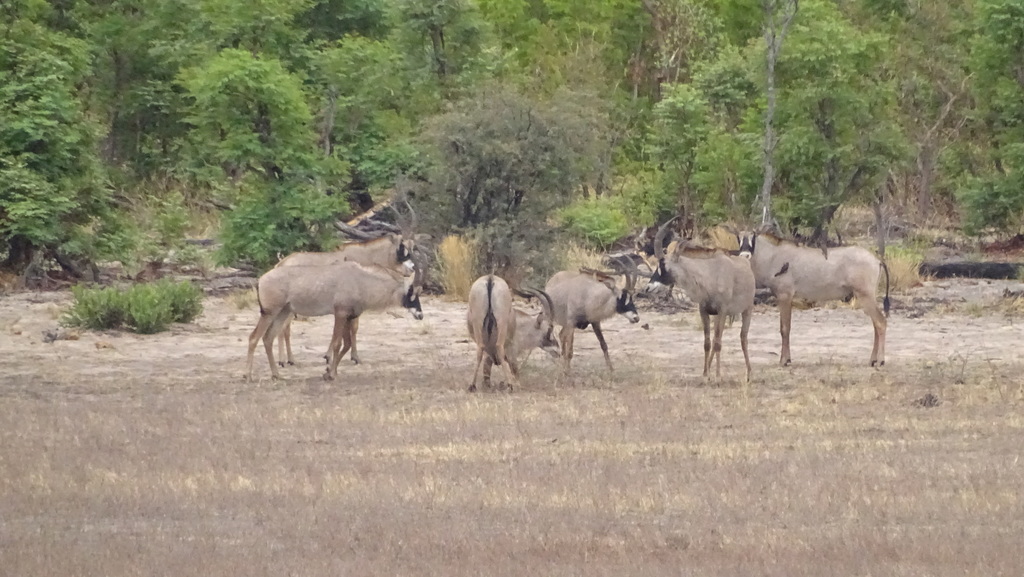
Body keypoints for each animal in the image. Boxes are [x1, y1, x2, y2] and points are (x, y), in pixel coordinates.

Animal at [245, 261, 424, 381]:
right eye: (412, 293)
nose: (420, 315)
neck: (361, 281)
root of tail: (261, 279)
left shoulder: (348, 316)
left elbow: (347, 344)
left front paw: (330, 372)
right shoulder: (340, 313)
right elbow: (338, 343)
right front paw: (330, 373)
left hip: (283, 312)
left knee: (268, 338)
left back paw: (276, 375)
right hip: (269, 313)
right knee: (254, 337)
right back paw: (248, 376)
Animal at [273, 202, 417, 366]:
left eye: (412, 246)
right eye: (401, 248)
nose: (412, 269)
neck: (366, 255)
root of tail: (281, 263)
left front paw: (329, 356)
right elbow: (354, 328)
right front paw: (354, 357)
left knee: (285, 328)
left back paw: (289, 359)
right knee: (283, 328)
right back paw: (283, 360)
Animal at [645, 218, 755, 381]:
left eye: (663, 265)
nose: (648, 288)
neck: (710, 274)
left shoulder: (722, 311)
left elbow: (718, 344)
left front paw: (717, 375)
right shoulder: (704, 311)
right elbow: (708, 343)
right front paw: (705, 374)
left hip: (747, 310)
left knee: (743, 338)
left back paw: (749, 373)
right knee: (717, 337)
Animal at [737, 228, 891, 366]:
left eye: (753, 237)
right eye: (739, 238)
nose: (745, 255)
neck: (773, 256)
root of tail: (877, 260)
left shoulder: (785, 296)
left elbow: (785, 328)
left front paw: (784, 360)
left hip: (865, 296)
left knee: (880, 322)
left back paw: (880, 361)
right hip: (867, 297)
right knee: (876, 325)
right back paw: (872, 360)